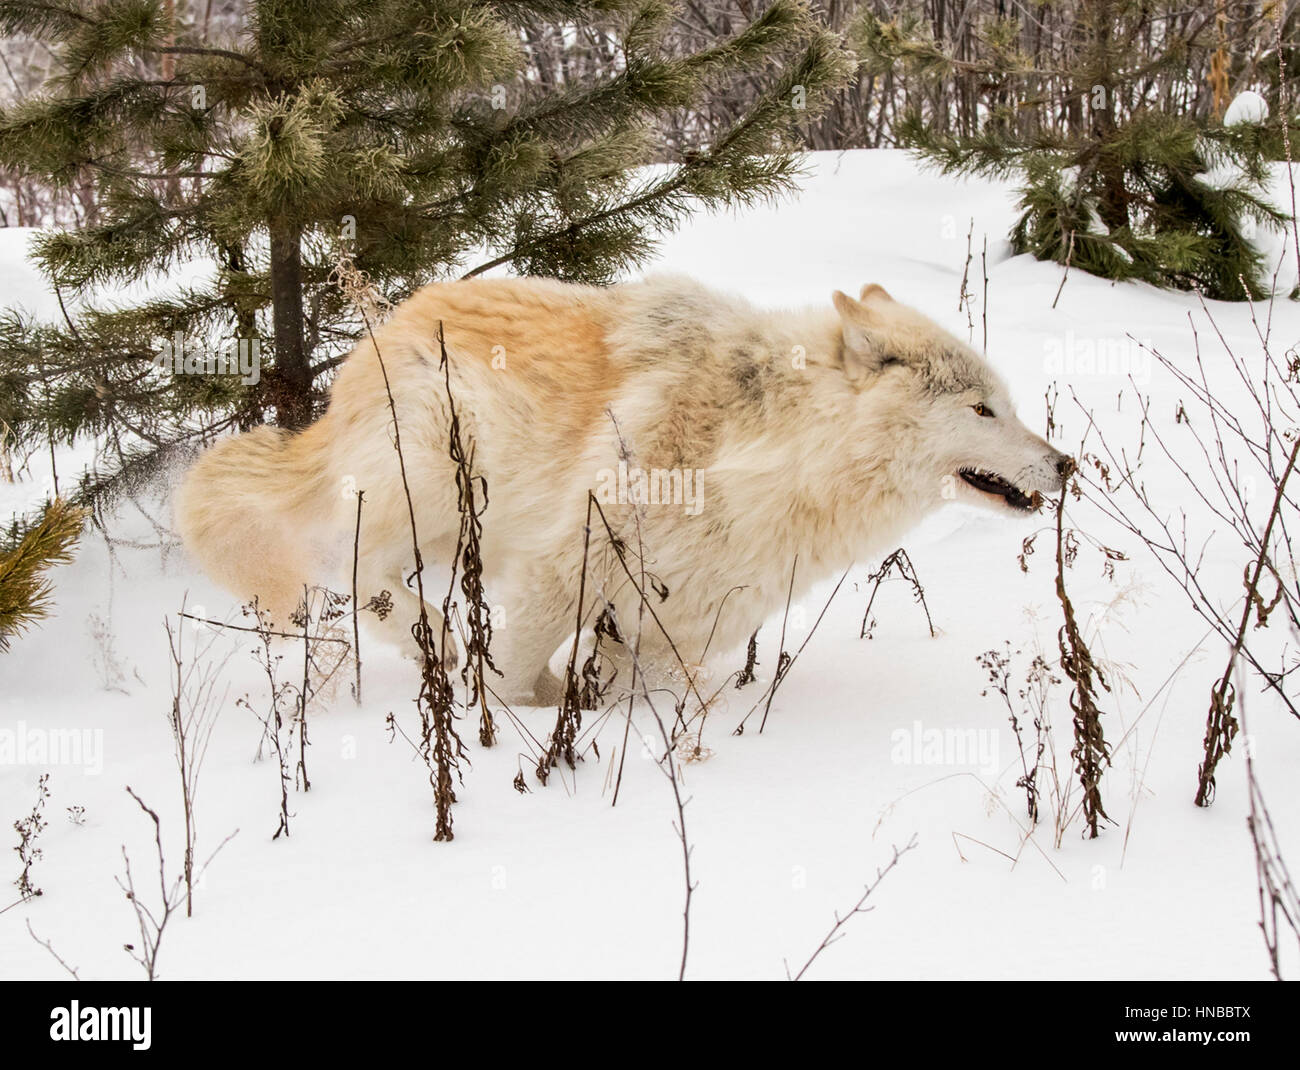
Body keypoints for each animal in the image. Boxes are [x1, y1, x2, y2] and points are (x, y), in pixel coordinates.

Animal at [176, 275, 1070, 703]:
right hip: (438, 480)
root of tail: (375, 339)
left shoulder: (684, 624)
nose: (1067, 465)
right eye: (982, 409)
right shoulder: (561, 570)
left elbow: (622, 686)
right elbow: (516, 679)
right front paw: (518, 720)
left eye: (1010, 404)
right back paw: (435, 639)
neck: (776, 449)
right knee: (358, 571)